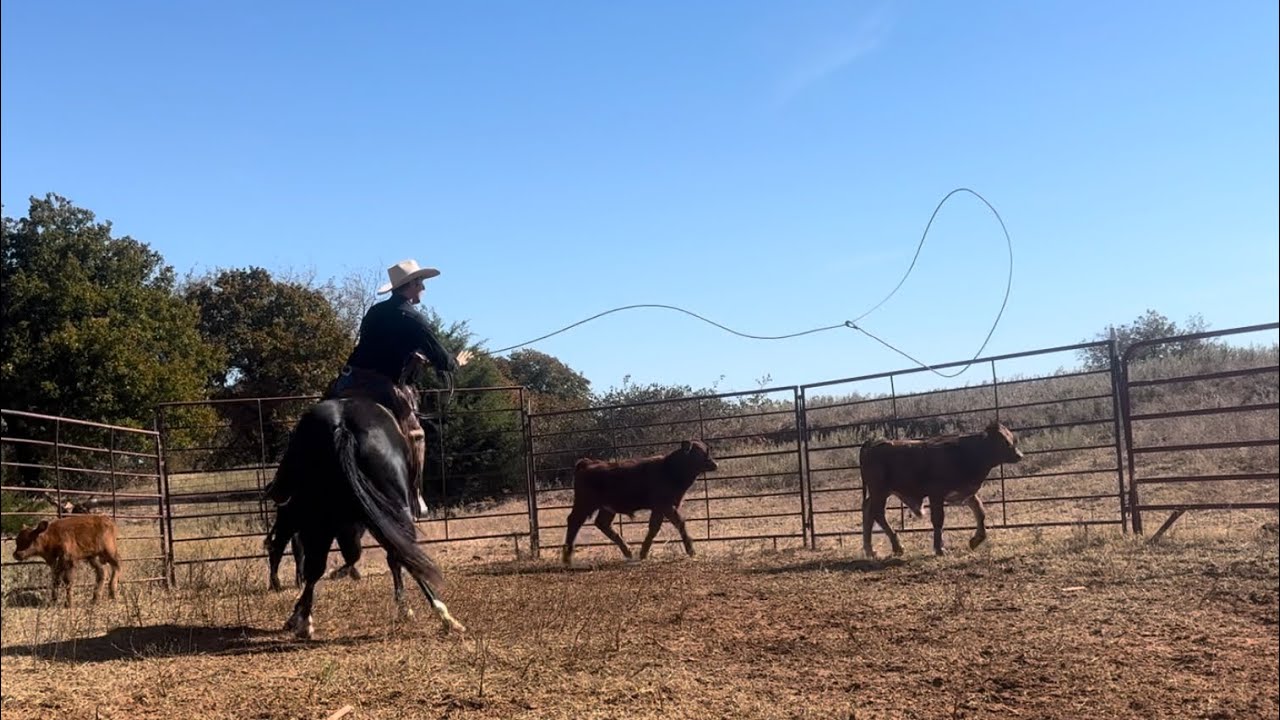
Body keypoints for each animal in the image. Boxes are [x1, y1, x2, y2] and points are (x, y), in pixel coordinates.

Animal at [562, 439, 719, 565]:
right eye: (701, 453)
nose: (715, 464)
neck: (669, 469)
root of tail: (588, 463)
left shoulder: (659, 508)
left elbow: (655, 527)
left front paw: (643, 552)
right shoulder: (665, 505)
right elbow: (678, 523)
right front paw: (691, 550)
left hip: (607, 508)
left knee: (603, 524)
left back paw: (627, 551)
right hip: (585, 504)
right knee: (574, 521)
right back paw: (567, 558)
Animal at [859, 420, 1024, 558]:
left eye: (1011, 438)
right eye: (1004, 441)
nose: (1019, 455)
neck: (966, 453)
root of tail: (873, 443)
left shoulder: (966, 491)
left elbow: (980, 512)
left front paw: (976, 540)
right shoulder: (936, 494)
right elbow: (938, 520)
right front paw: (939, 548)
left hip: (879, 493)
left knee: (868, 510)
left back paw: (870, 550)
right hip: (880, 491)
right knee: (878, 513)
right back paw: (897, 546)